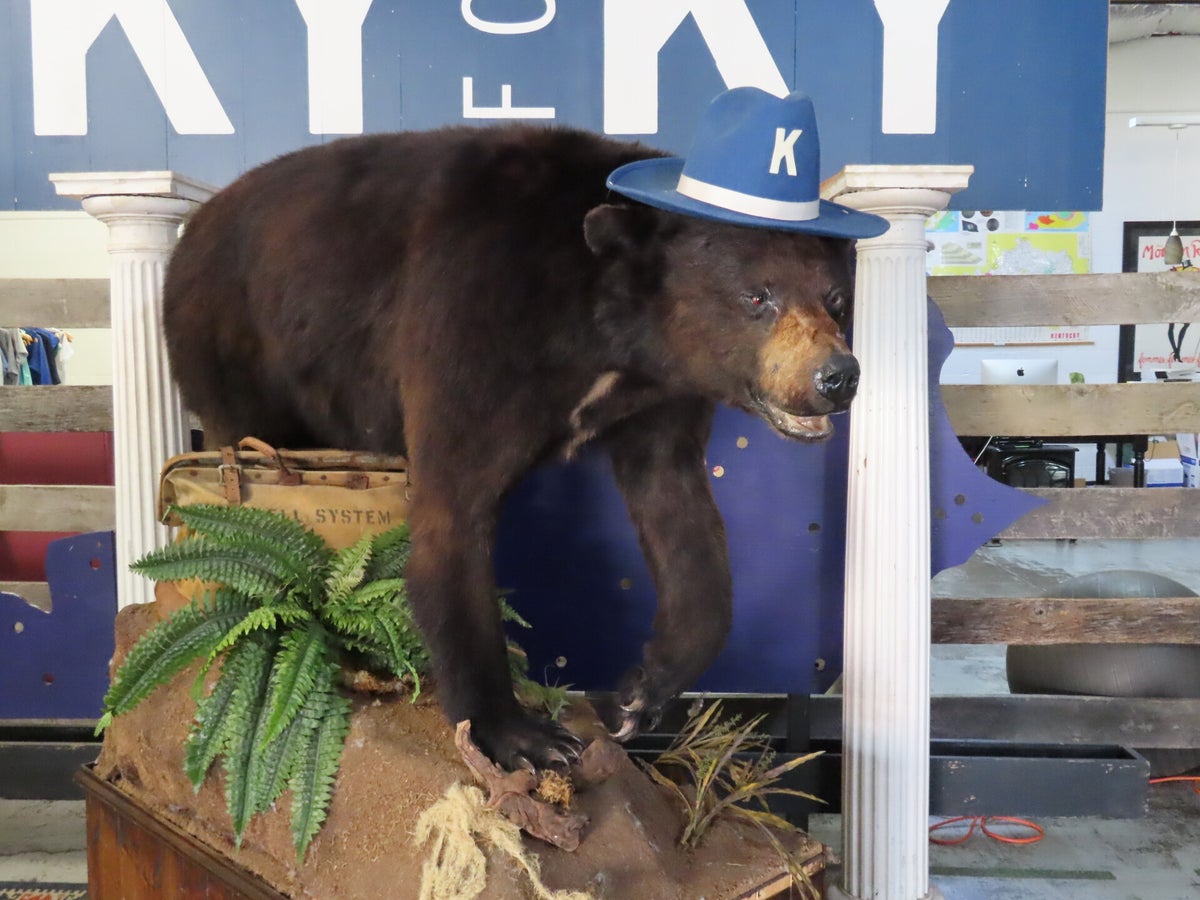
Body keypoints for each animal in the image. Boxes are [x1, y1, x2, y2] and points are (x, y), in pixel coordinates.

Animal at [162, 117, 867, 772]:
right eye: (756, 296)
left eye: (836, 298)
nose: (837, 376)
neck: (603, 330)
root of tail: (195, 227)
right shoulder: (473, 323)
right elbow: (454, 513)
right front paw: (518, 735)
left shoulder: (660, 396)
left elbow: (680, 514)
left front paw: (643, 690)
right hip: (234, 343)